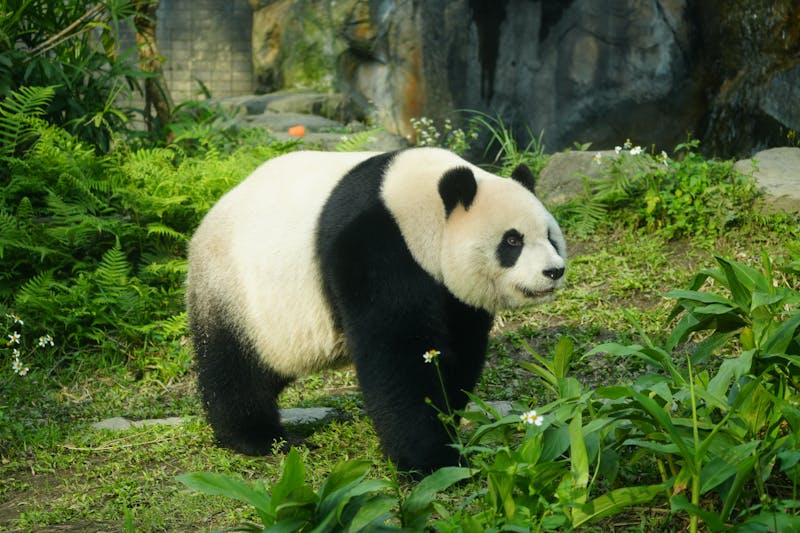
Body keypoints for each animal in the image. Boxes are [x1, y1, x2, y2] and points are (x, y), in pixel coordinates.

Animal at [186, 147, 566, 473]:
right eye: (512, 241)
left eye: (550, 236)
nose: (554, 271)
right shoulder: (376, 246)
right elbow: (398, 352)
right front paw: (430, 459)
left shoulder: (452, 291)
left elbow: (457, 347)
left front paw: (448, 422)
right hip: (236, 290)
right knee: (235, 367)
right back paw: (258, 437)